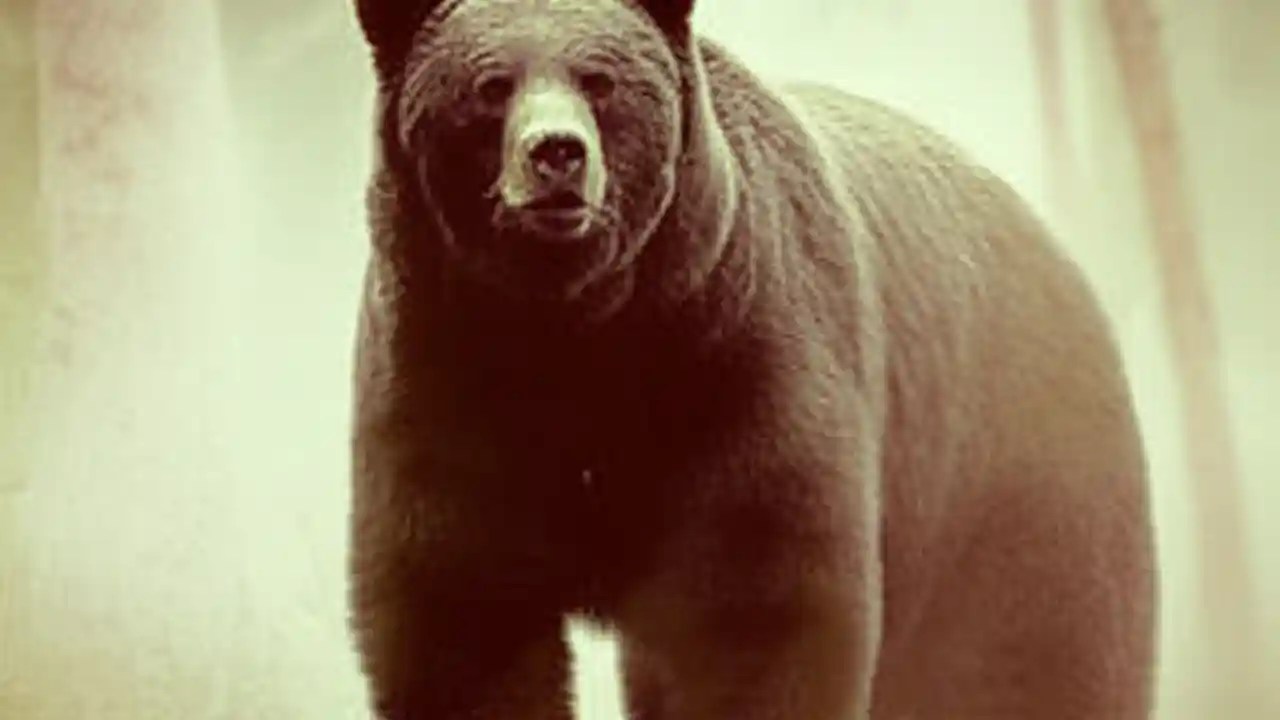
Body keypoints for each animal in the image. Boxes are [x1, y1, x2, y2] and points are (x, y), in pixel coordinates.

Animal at [347, 0, 1158, 718]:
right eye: (490, 85)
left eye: (600, 80)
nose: (557, 154)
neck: (583, 333)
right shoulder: (445, 385)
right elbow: (463, 618)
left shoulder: (742, 368)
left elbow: (753, 612)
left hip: (1018, 482)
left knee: (1034, 657)